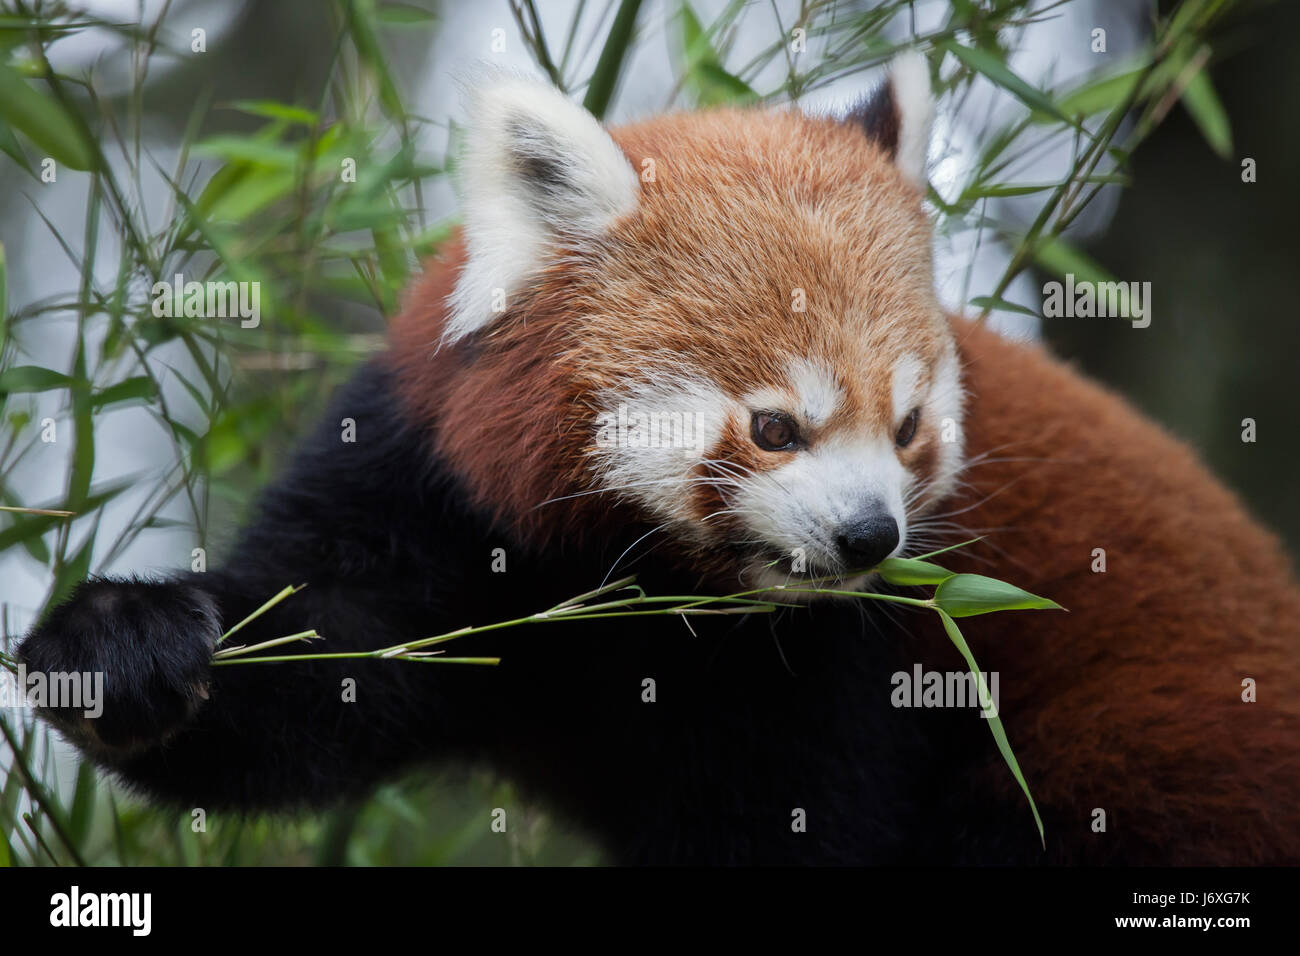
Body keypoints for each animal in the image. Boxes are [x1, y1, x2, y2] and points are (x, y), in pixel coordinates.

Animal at [18, 55, 1300, 865]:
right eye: (775, 426)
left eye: (906, 428)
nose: (870, 535)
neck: (633, 581)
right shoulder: (431, 490)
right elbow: (312, 661)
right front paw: (118, 645)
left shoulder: (852, 658)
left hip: (1145, 748)